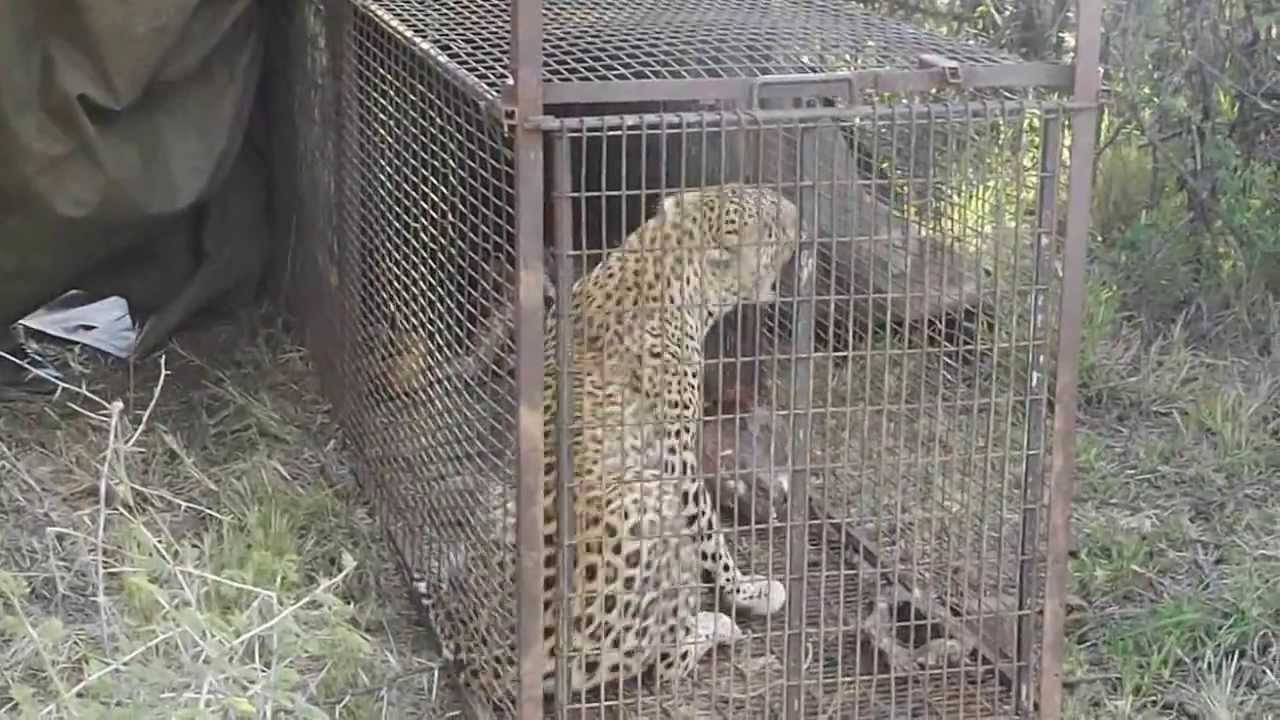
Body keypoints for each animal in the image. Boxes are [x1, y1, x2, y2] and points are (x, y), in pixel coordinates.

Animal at [415, 183, 802, 715]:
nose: (798, 214)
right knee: (663, 664)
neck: (663, 261)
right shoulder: (678, 466)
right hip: (652, 509)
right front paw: (746, 591)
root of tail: (497, 660)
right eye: (769, 226)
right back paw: (714, 627)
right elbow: (711, 537)